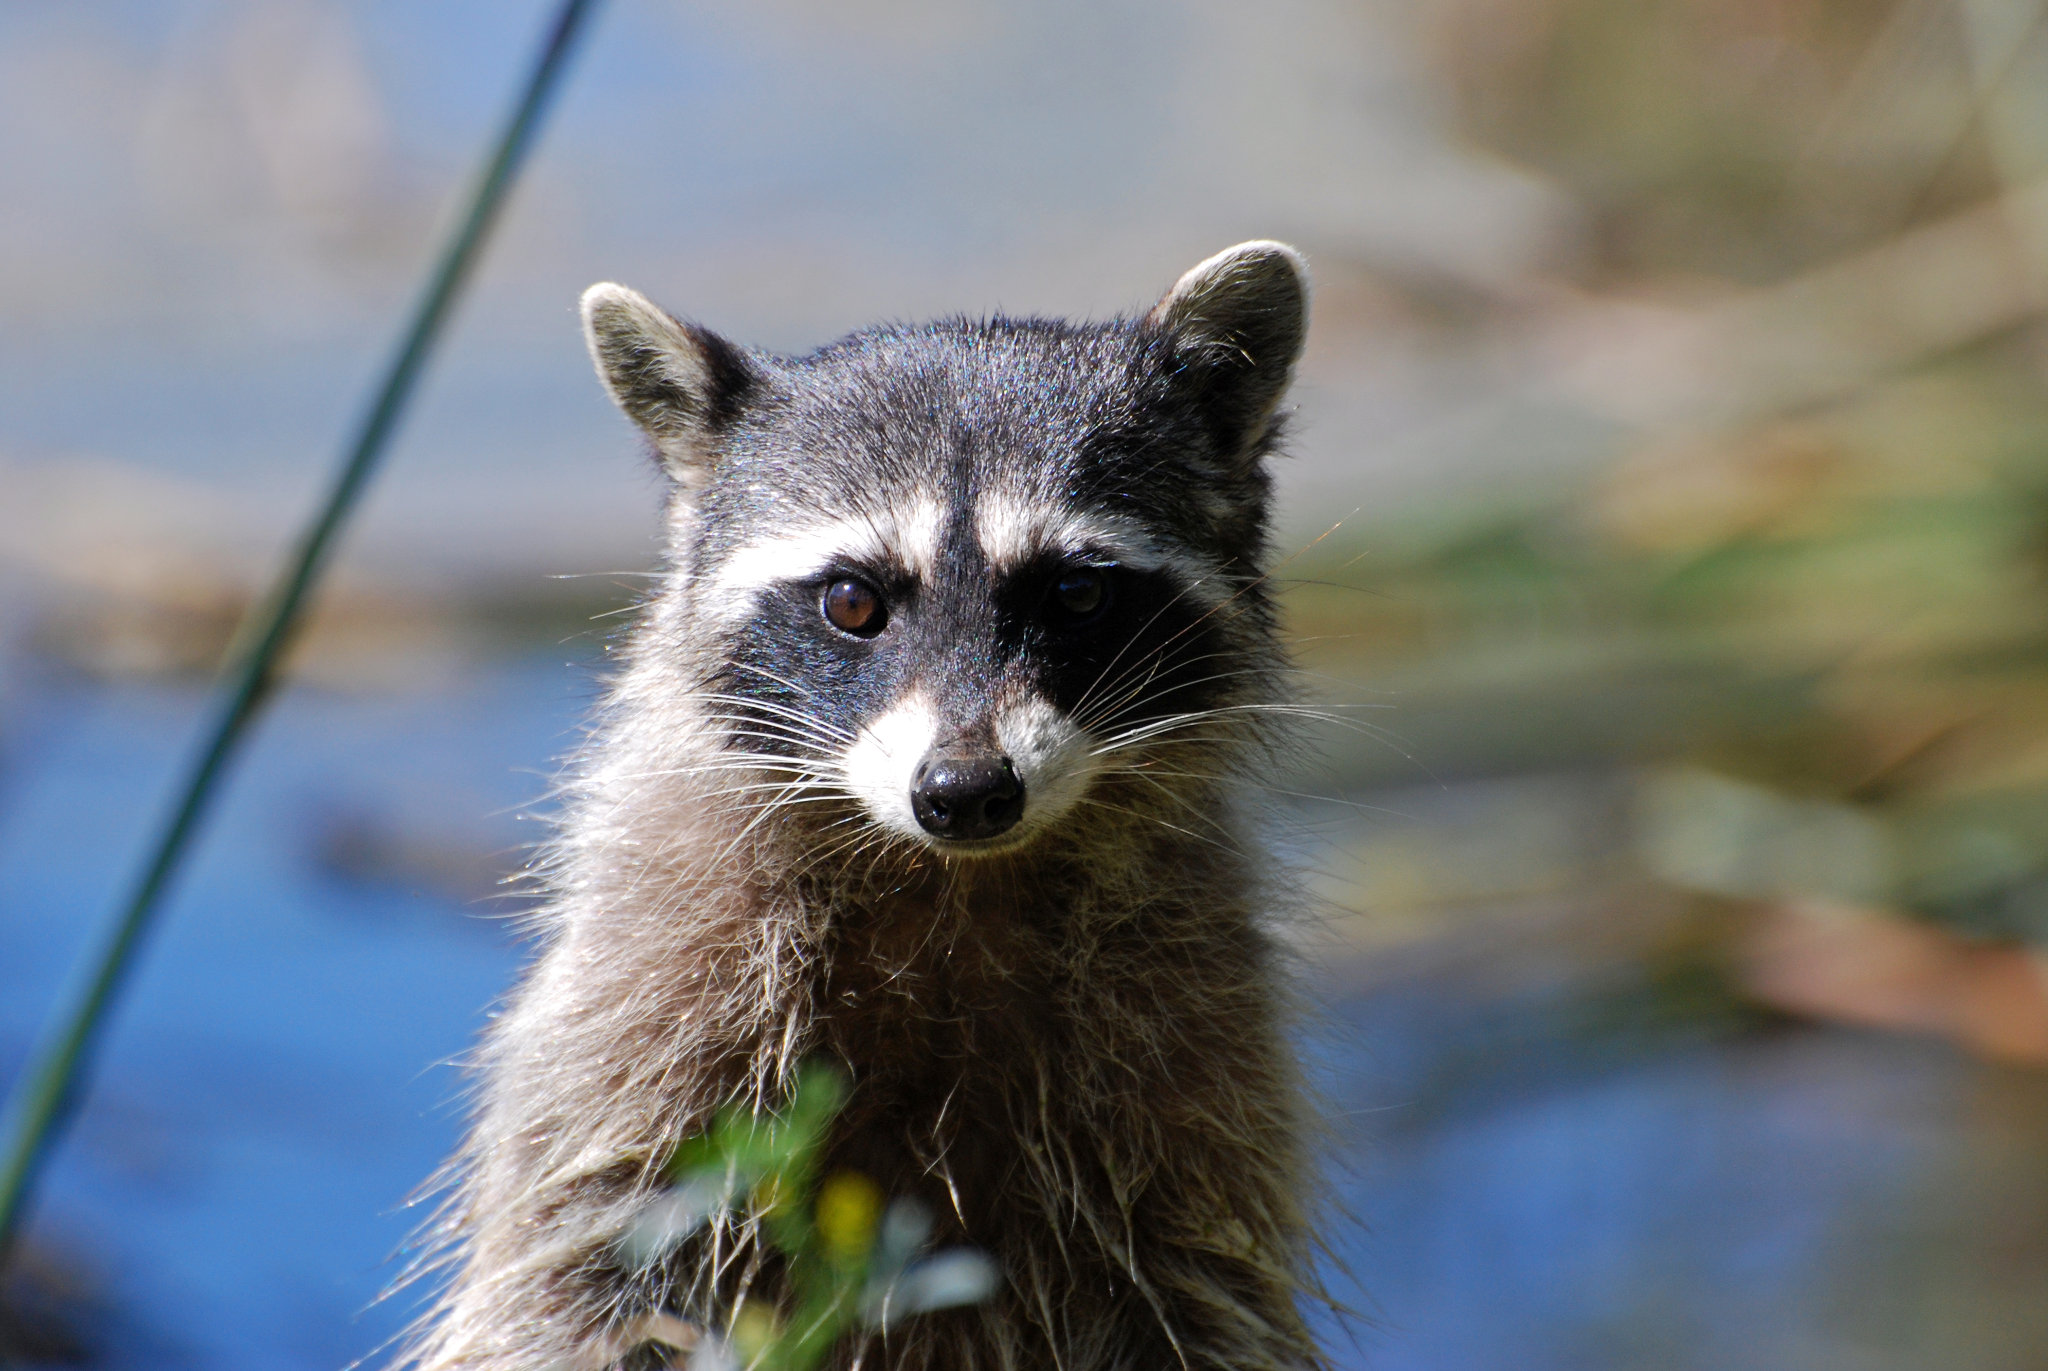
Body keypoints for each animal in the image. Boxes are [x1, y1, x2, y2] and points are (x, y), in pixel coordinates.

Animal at [403, 242, 1324, 1371]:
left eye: (1075, 594)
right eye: (852, 602)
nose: (965, 793)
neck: (955, 884)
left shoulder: (1196, 1046)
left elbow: (1203, 1287)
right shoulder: (647, 1001)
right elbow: (573, 1271)